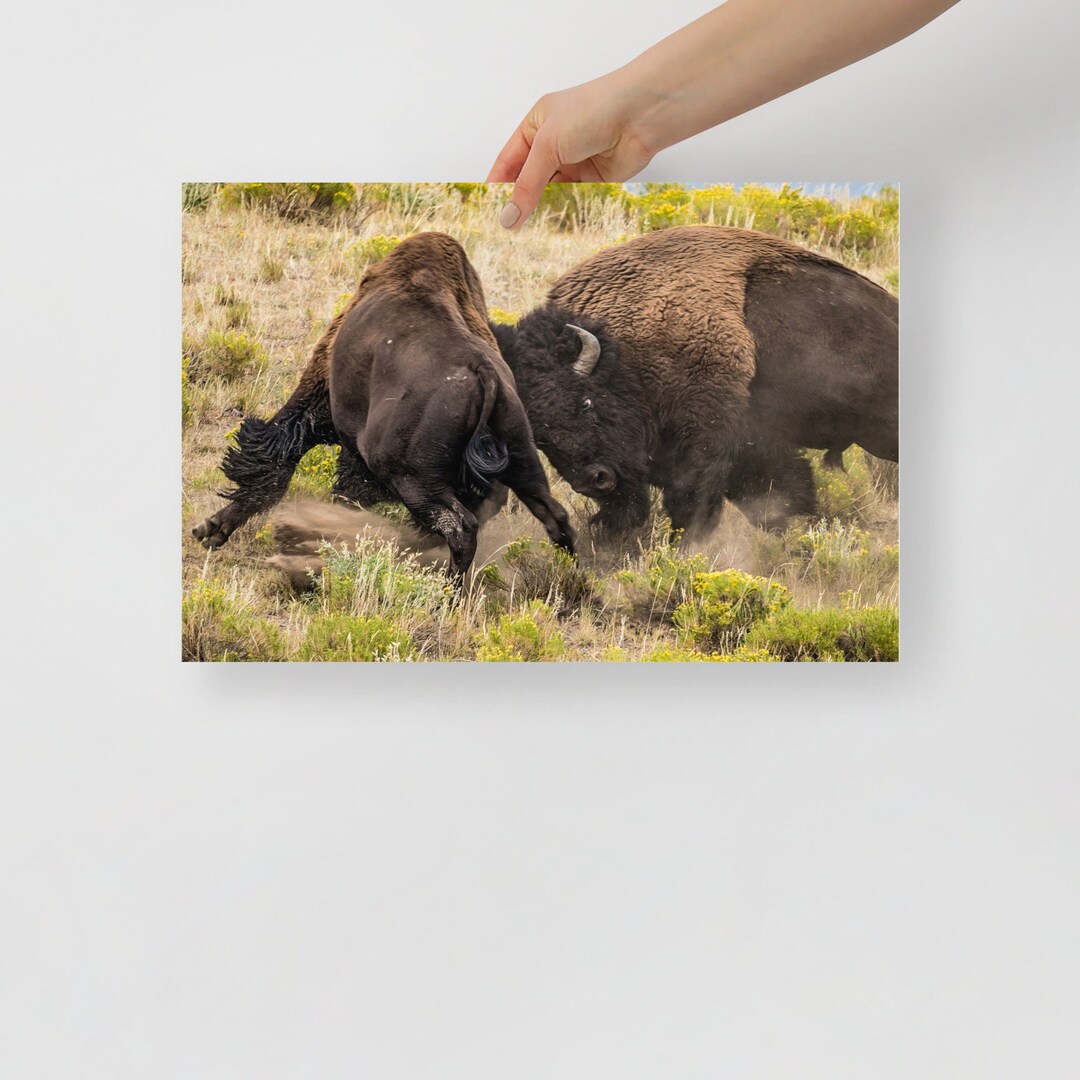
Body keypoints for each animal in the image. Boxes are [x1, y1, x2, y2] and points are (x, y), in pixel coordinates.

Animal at [192, 232, 575, 579]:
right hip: (521, 458)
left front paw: (213, 527)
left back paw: (445, 593)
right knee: (554, 515)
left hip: (413, 479)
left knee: (460, 528)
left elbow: (281, 465)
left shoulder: (320, 407)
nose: (207, 533)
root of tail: (485, 374)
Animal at [491, 225, 898, 539]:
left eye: (586, 402)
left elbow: (696, 505)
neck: (626, 350)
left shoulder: (707, 441)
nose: (596, 480)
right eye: (541, 436)